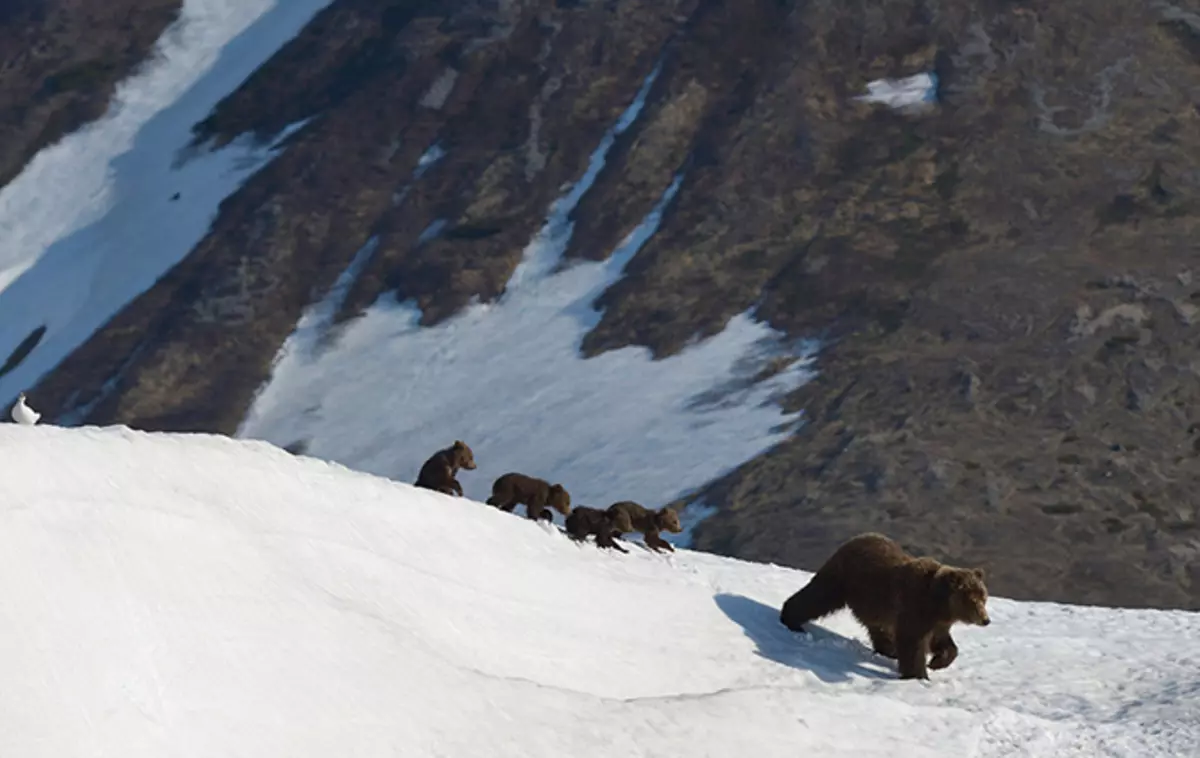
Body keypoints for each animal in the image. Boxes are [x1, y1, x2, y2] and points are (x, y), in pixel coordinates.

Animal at [777, 532, 993, 681]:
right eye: (973, 600)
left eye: (984, 597)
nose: (986, 620)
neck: (938, 603)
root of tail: (855, 538)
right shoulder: (916, 608)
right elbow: (912, 642)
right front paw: (918, 675)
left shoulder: (938, 622)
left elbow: (943, 642)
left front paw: (936, 662)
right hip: (843, 580)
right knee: (817, 597)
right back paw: (791, 619)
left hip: (871, 601)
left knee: (878, 628)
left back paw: (889, 650)